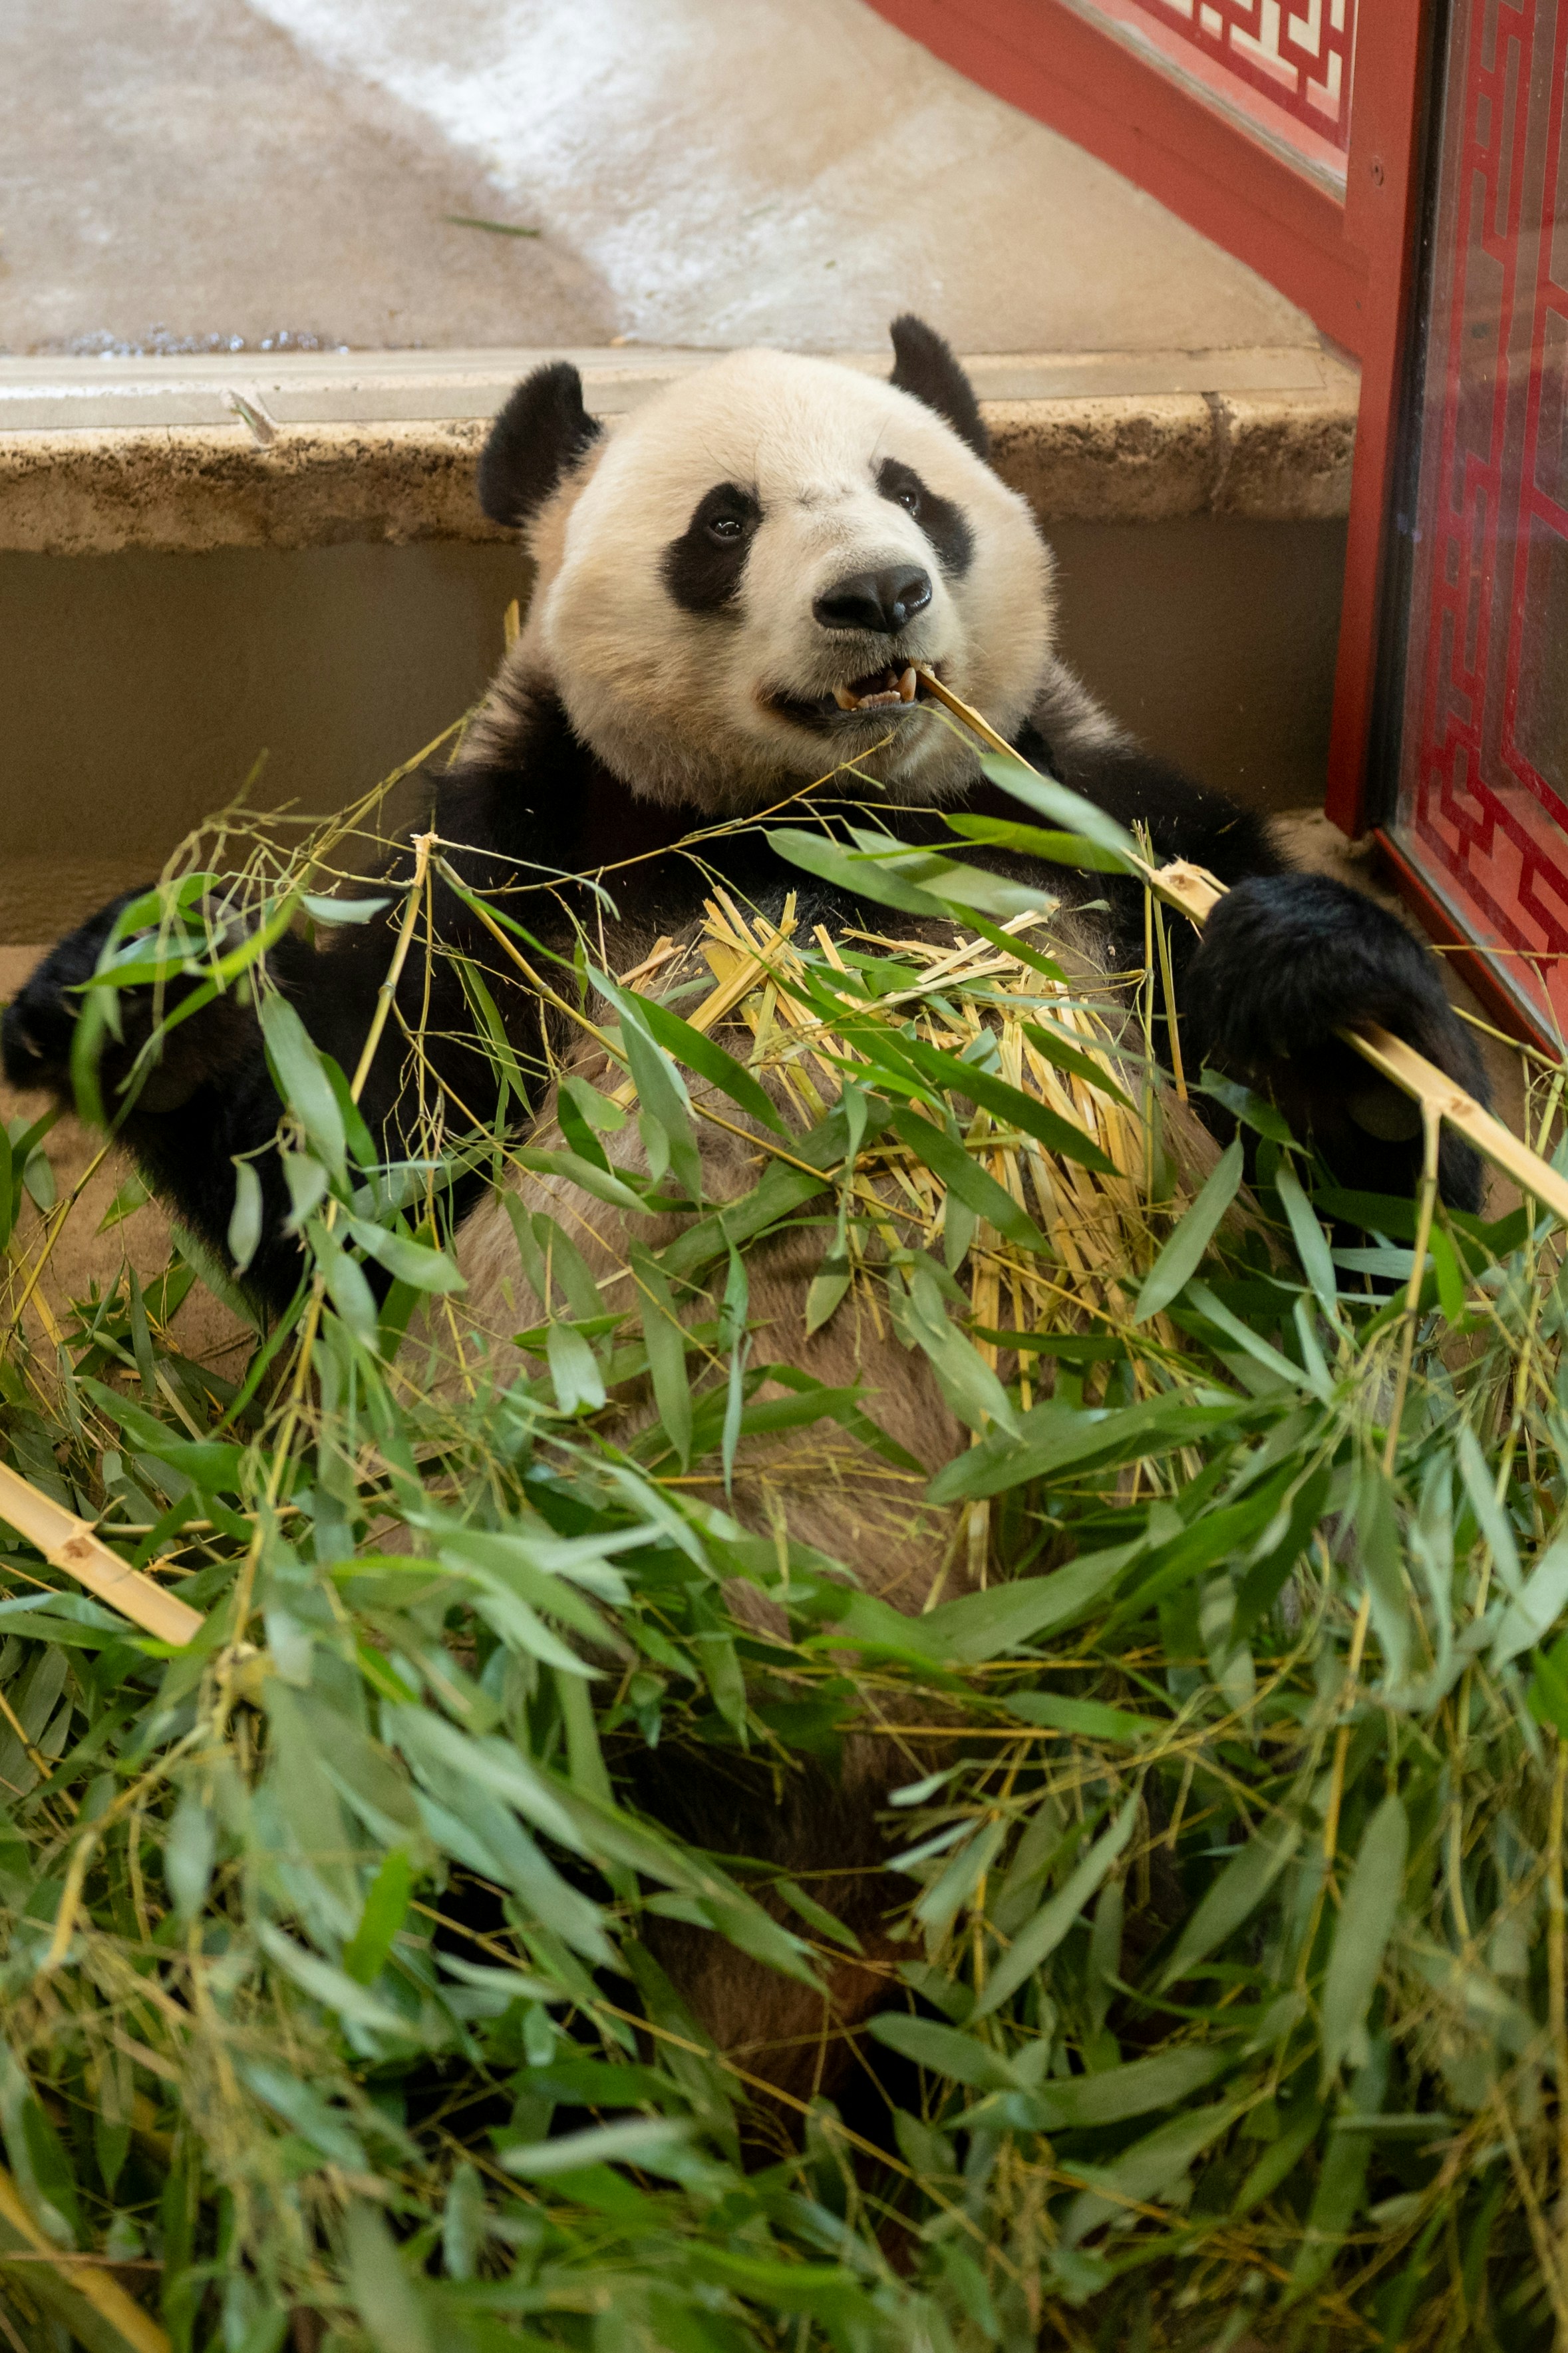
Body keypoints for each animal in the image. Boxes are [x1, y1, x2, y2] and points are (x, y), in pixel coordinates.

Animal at [2, 316, 1486, 2098]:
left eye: (912, 488)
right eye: (722, 525)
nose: (878, 593)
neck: (819, 824)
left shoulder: (1100, 832)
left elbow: (1366, 1222)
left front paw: (1324, 1005)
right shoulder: (513, 893)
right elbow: (355, 1187)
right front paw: (148, 997)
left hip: (1207, 1640)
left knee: (1289, 1795)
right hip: (494, 1645)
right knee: (415, 1805)